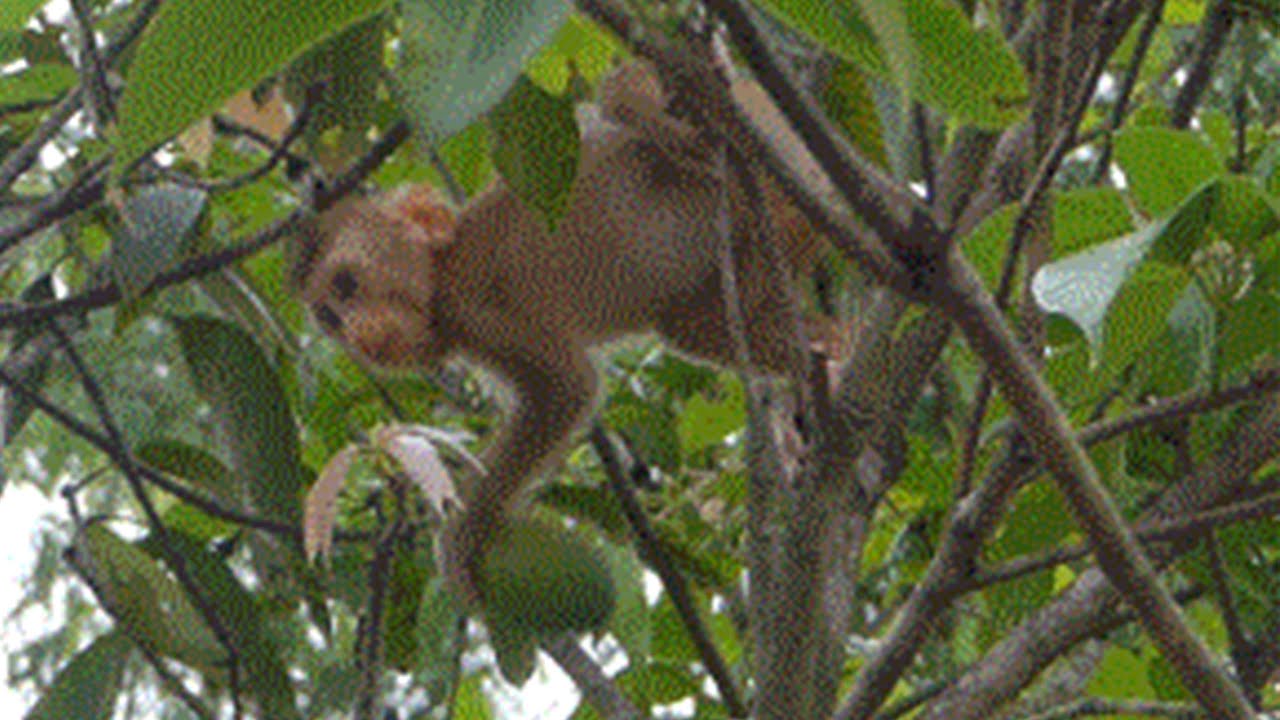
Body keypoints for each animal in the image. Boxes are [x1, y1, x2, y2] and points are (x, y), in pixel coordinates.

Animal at [291, 62, 829, 601]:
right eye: (331, 319)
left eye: (348, 284)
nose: (358, 333)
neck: (444, 266)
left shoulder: (473, 309)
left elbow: (567, 388)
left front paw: (463, 537)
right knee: (701, 326)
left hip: (774, 147)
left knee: (622, 91)